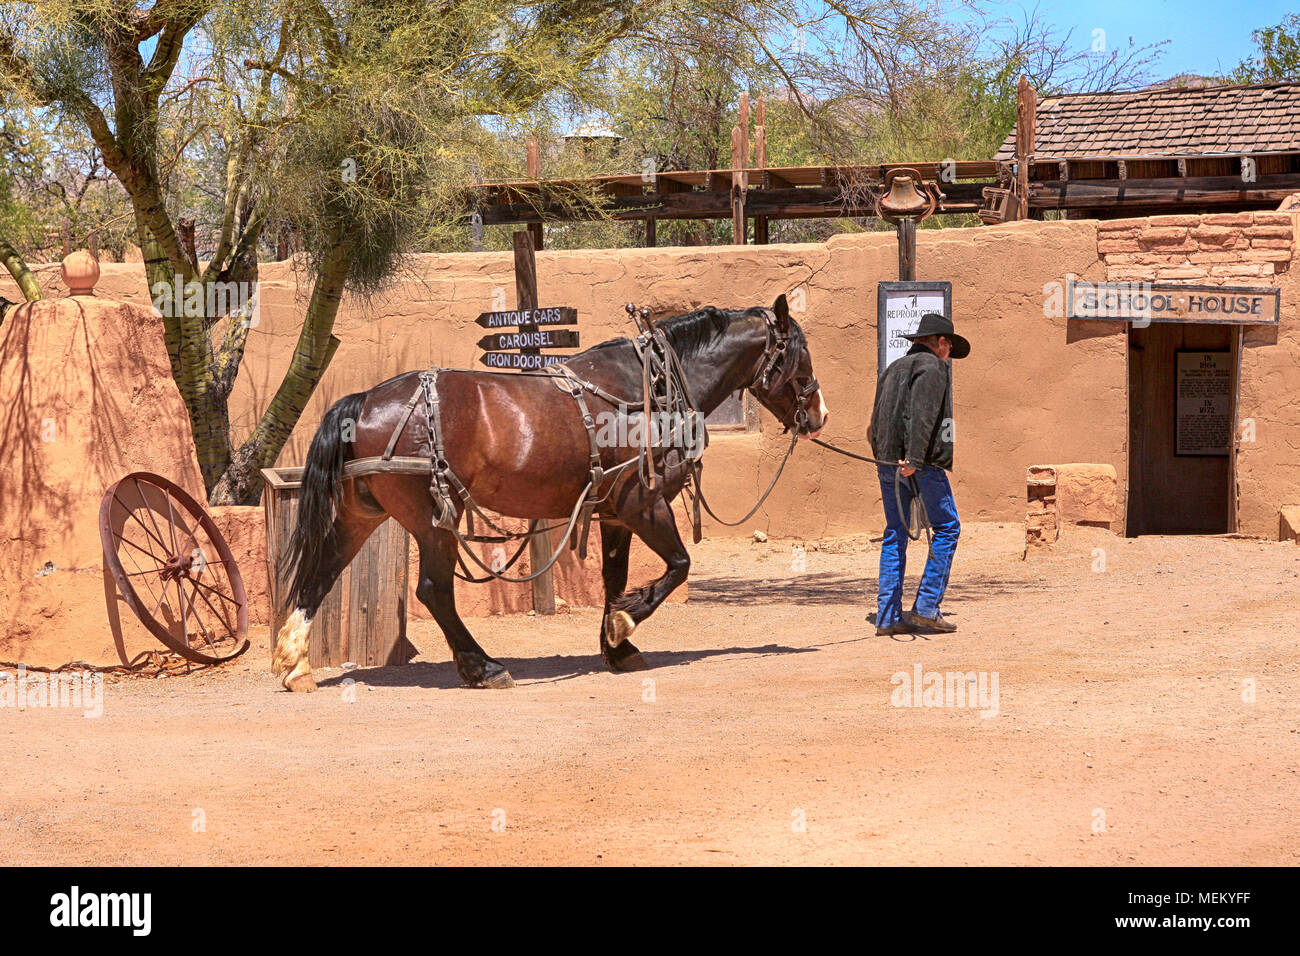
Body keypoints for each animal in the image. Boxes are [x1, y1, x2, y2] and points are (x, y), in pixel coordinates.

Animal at [271, 294, 828, 692]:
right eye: (801, 353)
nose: (819, 414)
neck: (650, 388)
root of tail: (366, 401)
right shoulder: (642, 502)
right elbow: (677, 566)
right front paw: (625, 622)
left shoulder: (614, 512)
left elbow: (613, 577)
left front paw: (616, 647)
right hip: (433, 517)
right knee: (433, 591)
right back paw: (483, 667)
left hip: (361, 512)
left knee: (322, 571)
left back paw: (295, 662)